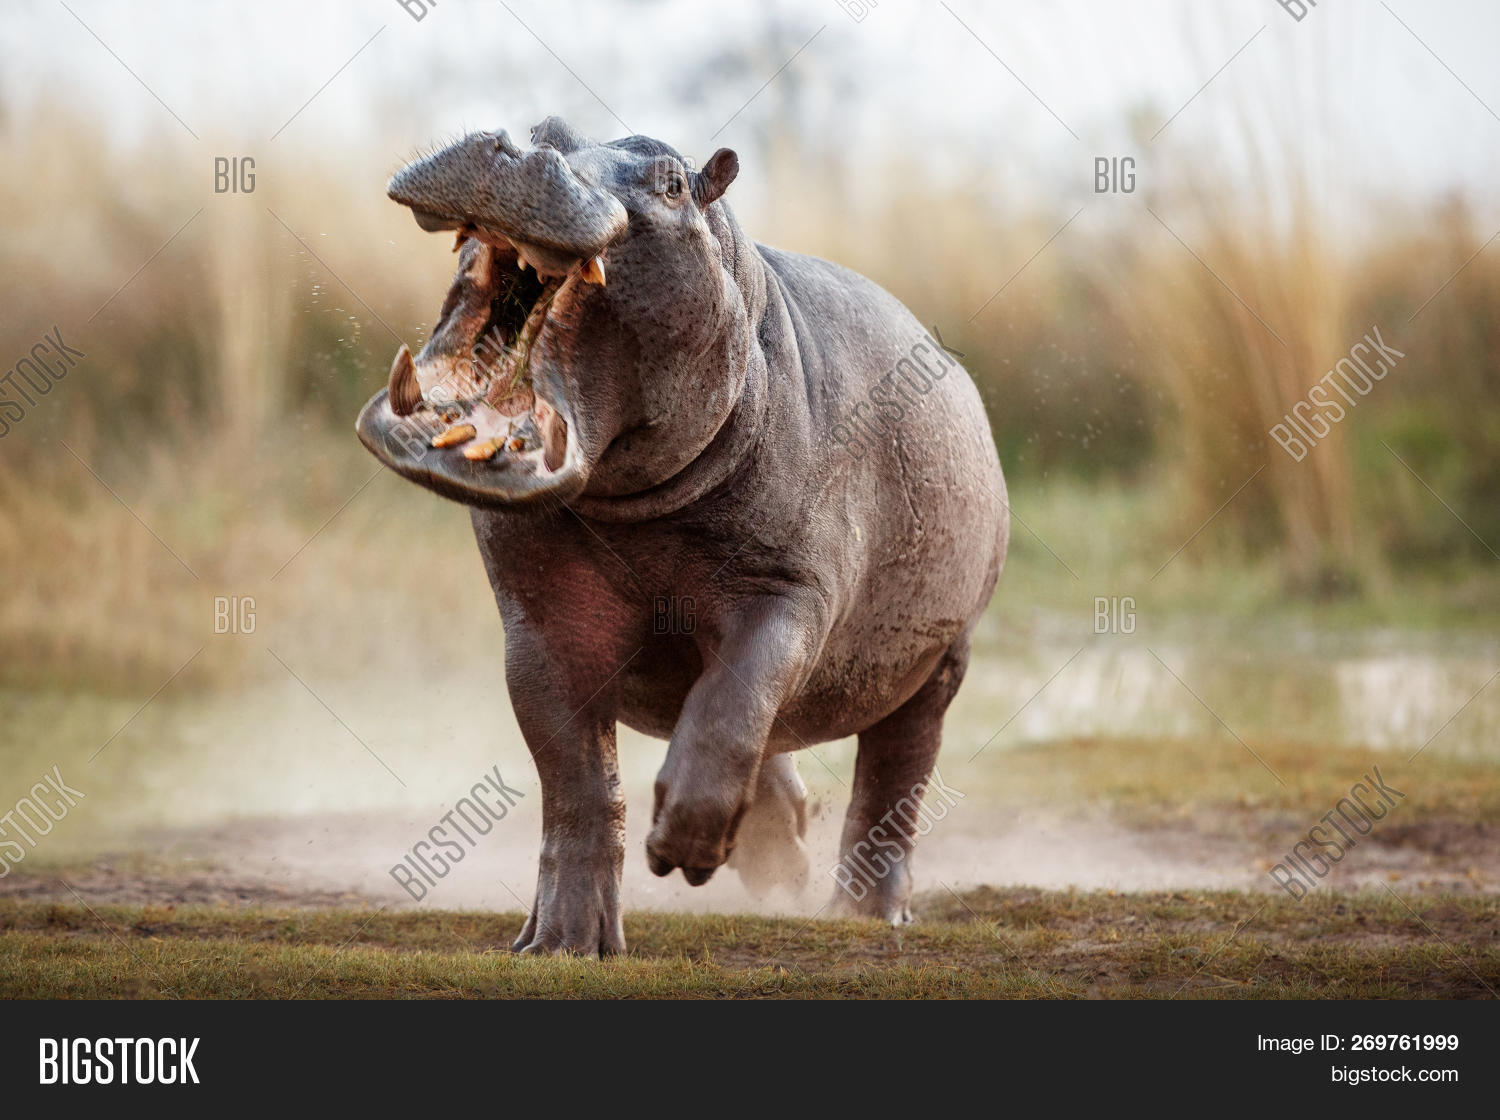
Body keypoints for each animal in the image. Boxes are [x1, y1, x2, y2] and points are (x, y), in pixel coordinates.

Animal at [357, 116, 1008, 956]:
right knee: (768, 741)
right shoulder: (539, 624)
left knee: (895, 774)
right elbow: (577, 782)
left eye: (671, 182)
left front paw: (686, 849)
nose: (515, 150)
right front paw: (561, 942)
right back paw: (781, 856)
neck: (632, 508)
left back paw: (867, 910)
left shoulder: (788, 591)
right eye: (545, 129)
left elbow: (736, 699)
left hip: (942, 659)